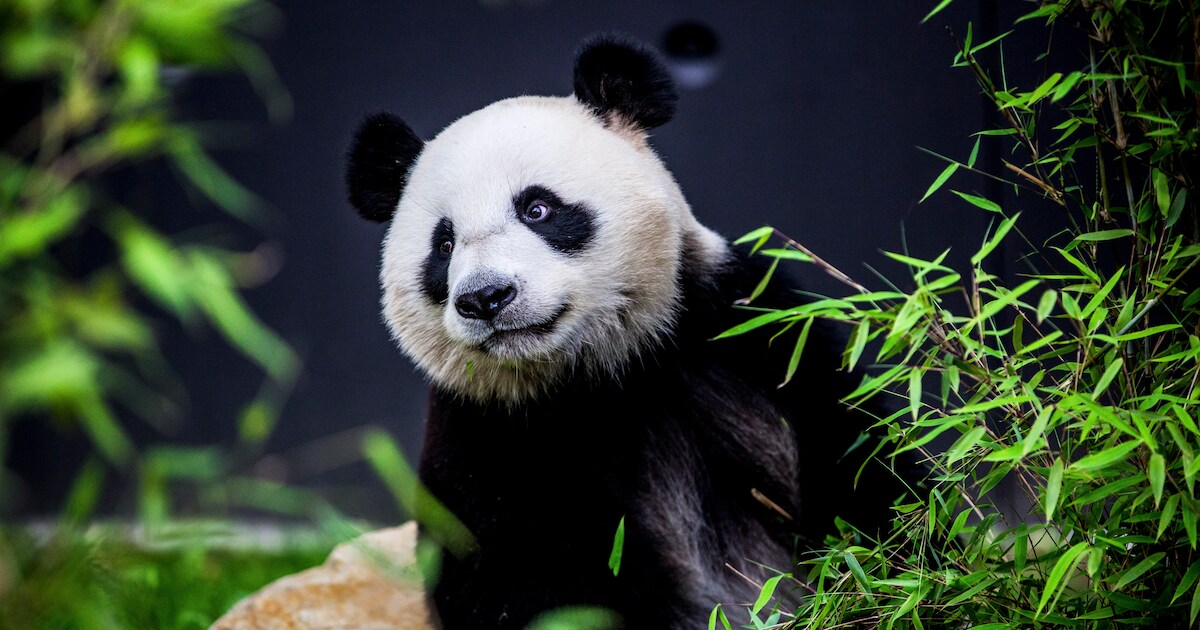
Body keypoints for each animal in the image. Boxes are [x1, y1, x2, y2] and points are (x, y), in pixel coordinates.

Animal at [345, 33, 911, 629]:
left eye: (537, 208)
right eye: (445, 244)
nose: (485, 297)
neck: (600, 370)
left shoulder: (741, 337)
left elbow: (860, 468)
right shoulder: (483, 435)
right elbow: (509, 584)